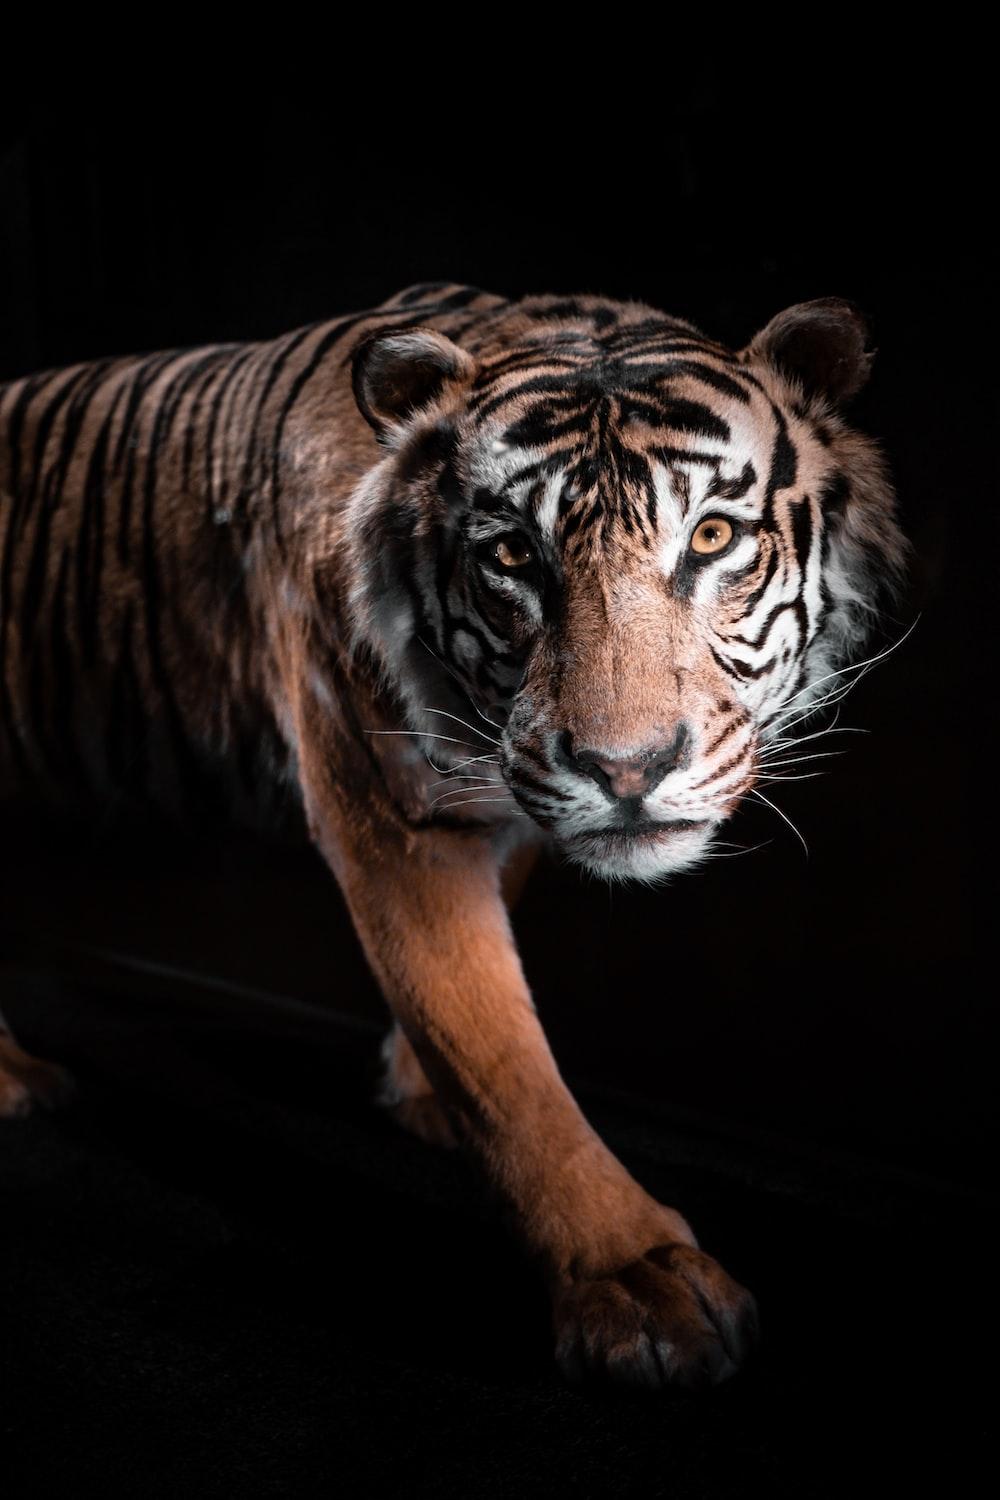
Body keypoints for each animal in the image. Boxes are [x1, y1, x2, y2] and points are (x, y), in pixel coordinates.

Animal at [0, 281, 905, 1388]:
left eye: (710, 539)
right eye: (513, 554)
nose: (627, 769)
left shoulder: (504, 795)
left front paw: (418, 1089)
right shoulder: (394, 814)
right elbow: (493, 1045)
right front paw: (632, 1280)